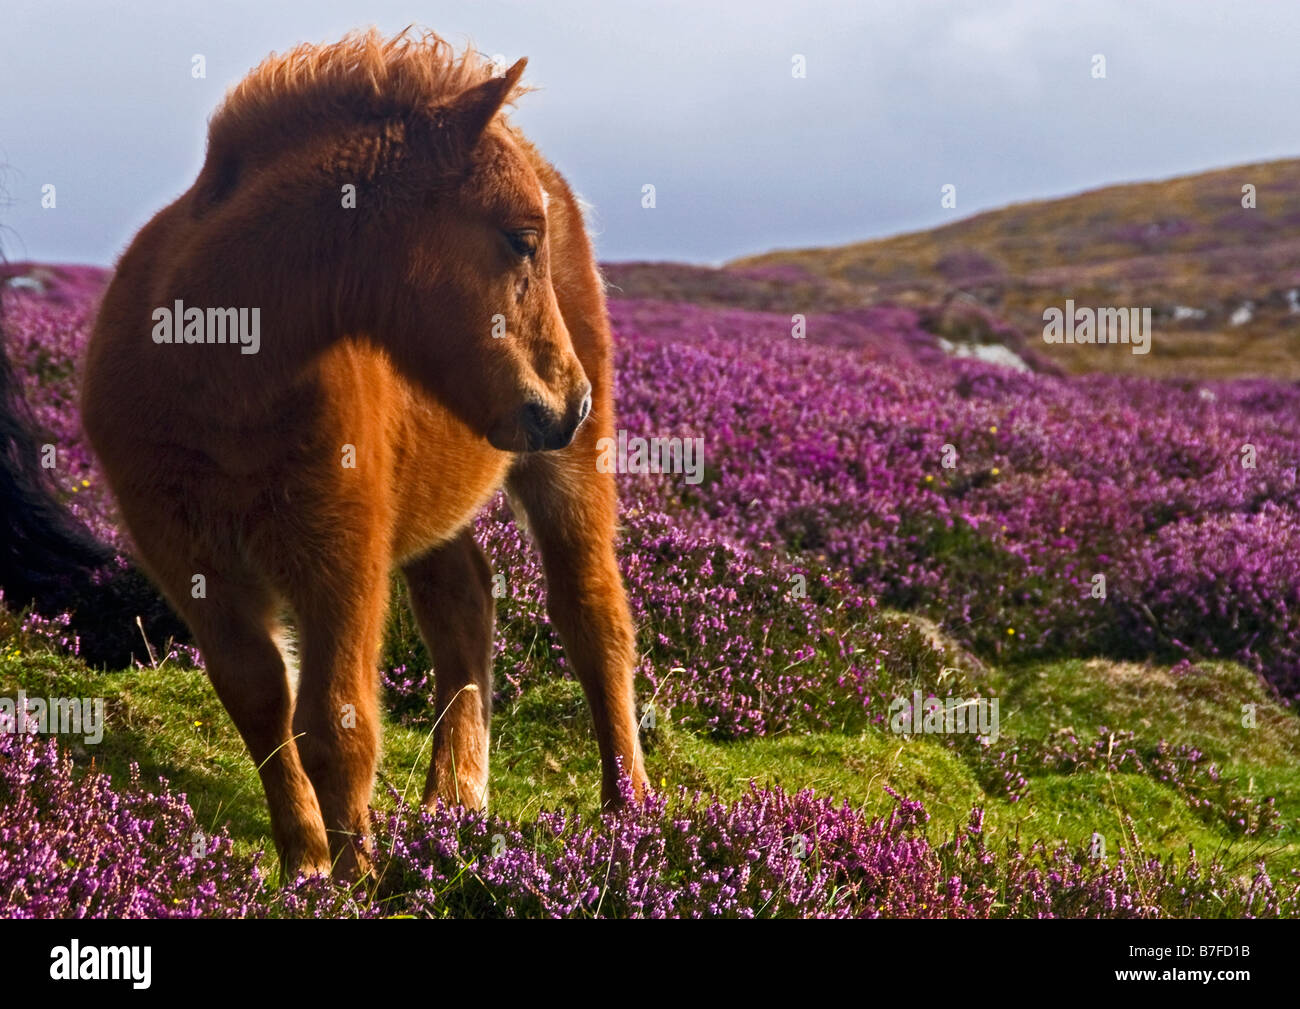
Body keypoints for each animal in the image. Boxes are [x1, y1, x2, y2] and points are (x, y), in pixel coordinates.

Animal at [78, 28, 649, 880]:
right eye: (520, 240)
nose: (569, 402)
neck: (219, 377)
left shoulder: (340, 557)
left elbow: (335, 723)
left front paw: (355, 877)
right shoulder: (191, 561)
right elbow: (259, 698)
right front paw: (308, 862)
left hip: (569, 473)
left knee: (593, 617)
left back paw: (629, 812)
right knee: (463, 602)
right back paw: (454, 801)